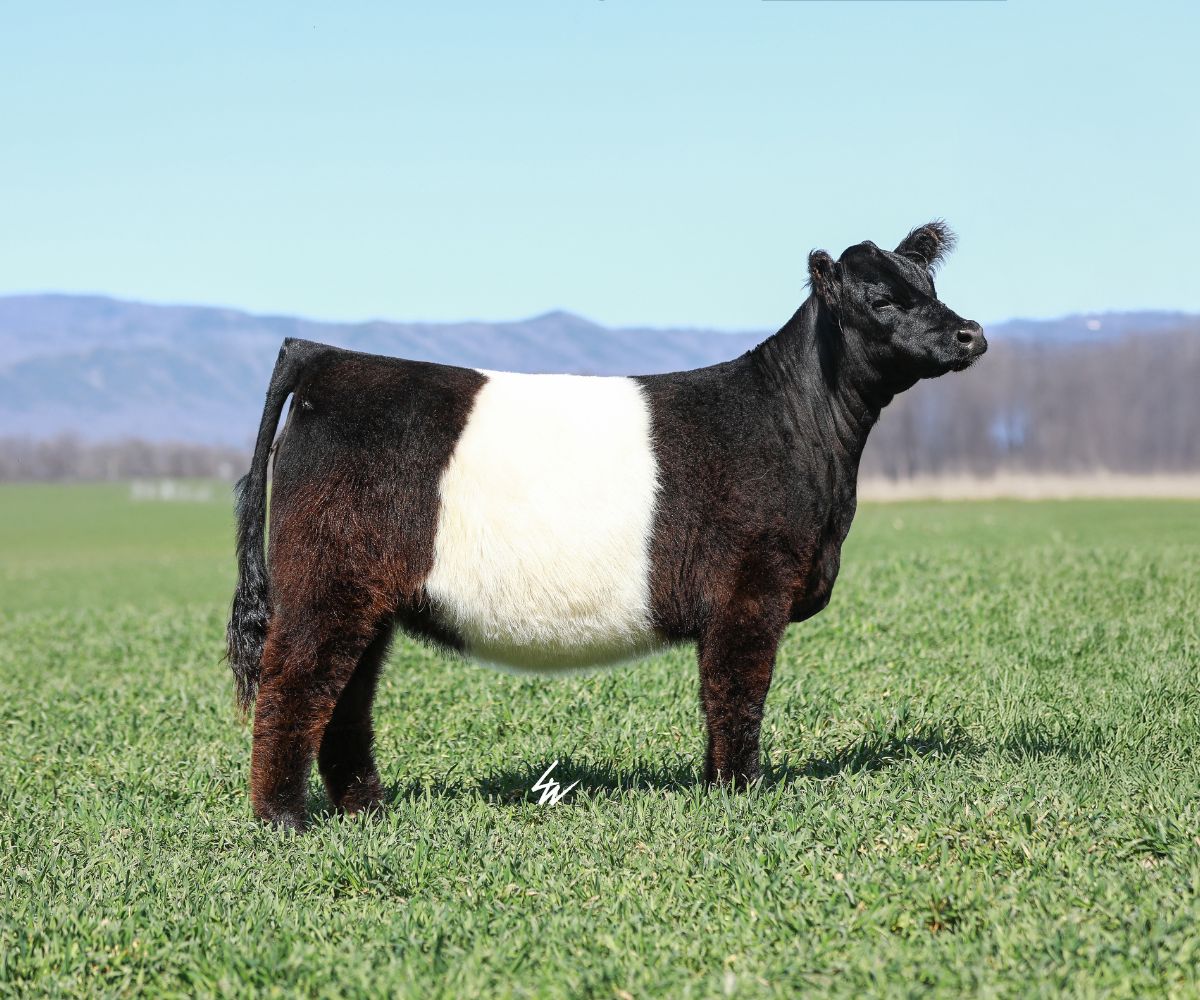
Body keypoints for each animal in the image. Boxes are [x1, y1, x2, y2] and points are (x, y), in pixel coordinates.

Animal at [227, 221, 986, 830]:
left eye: (930, 284)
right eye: (881, 299)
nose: (969, 333)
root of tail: (325, 357)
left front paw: (722, 787)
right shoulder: (749, 589)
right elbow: (737, 694)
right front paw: (737, 792)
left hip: (367, 595)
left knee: (345, 701)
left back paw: (367, 810)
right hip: (325, 584)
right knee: (293, 685)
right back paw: (285, 821)